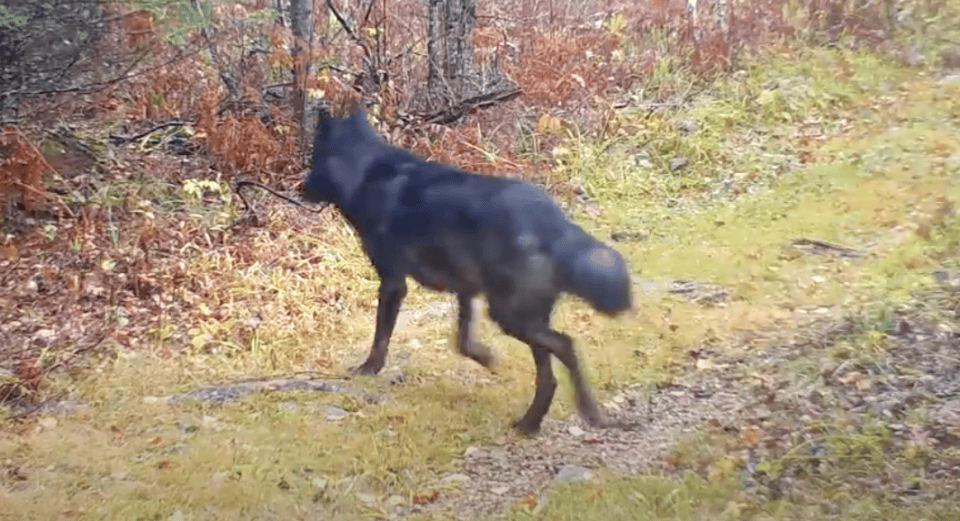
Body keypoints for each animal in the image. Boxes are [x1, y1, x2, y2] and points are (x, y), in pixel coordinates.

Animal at [302, 108, 632, 435]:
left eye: (313, 160)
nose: (300, 189)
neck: (365, 171)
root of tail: (554, 224)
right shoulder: (466, 289)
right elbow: (462, 342)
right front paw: (485, 358)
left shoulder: (393, 283)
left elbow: (381, 337)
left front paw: (368, 369)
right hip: (525, 319)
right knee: (550, 374)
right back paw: (534, 422)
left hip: (511, 316)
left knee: (565, 345)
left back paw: (580, 413)